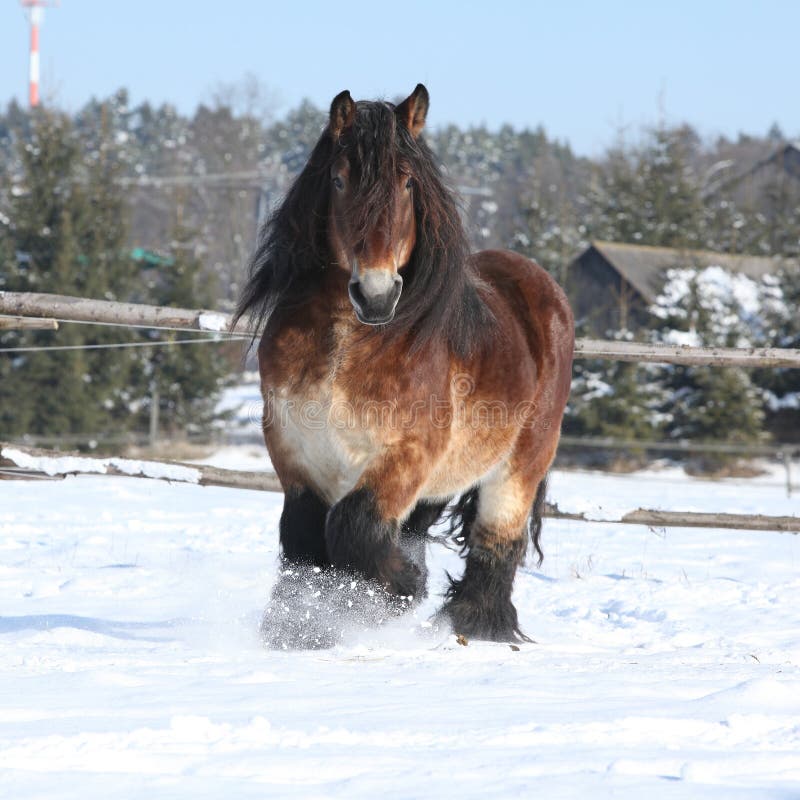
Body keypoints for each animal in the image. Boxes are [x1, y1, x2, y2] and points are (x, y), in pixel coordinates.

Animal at [233, 84, 574, 645]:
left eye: (409, 183)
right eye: (339, 179)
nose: (375, 295)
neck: (347, 344)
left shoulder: (405, 454)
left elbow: (354, 525)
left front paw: (401, 590)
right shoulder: (294, 451)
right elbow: (304, 539)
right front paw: (299, 632)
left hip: (517, 468)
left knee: (497, 544)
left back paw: (477, 627)